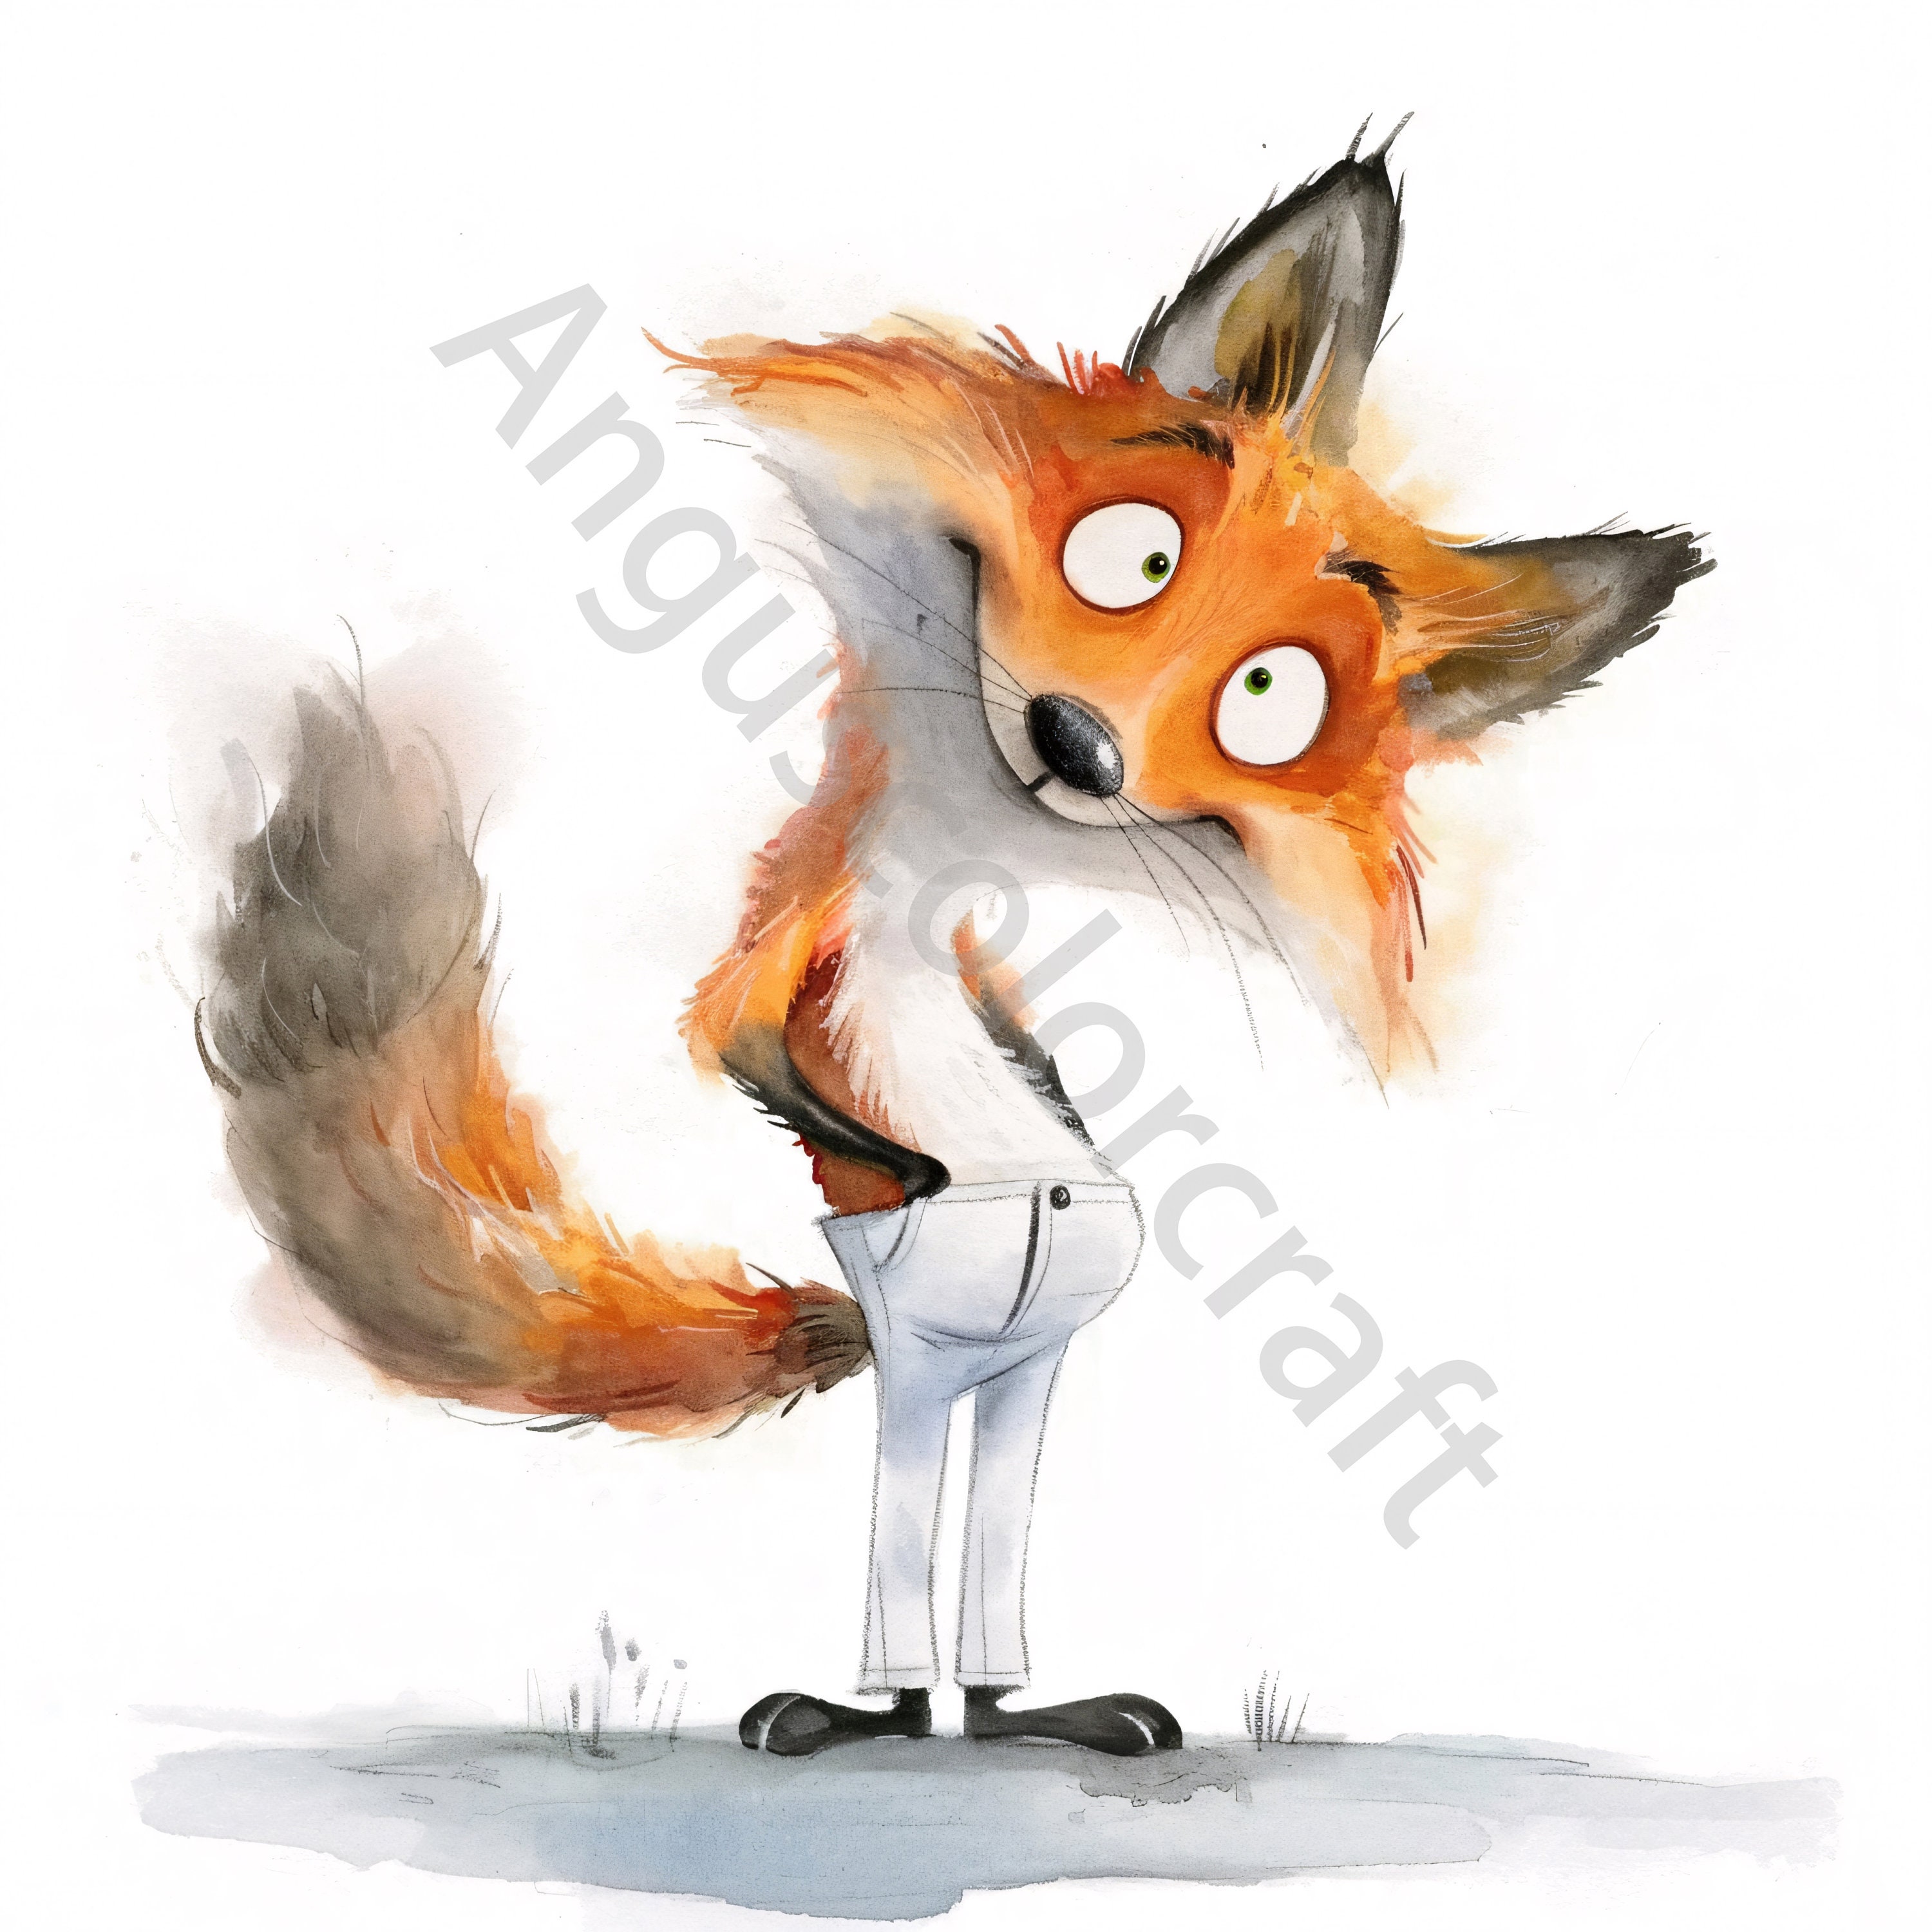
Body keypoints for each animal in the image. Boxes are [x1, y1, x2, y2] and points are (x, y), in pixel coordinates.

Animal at [197, 125, 1707, 1760]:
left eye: (1267, 701)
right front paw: (896, 1180)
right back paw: (871, 1711)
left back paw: (1016, 1710)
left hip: (1038, 1345)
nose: (1078, 743)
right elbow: (733, 1038)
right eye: (1135, 557)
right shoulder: (803, 956)